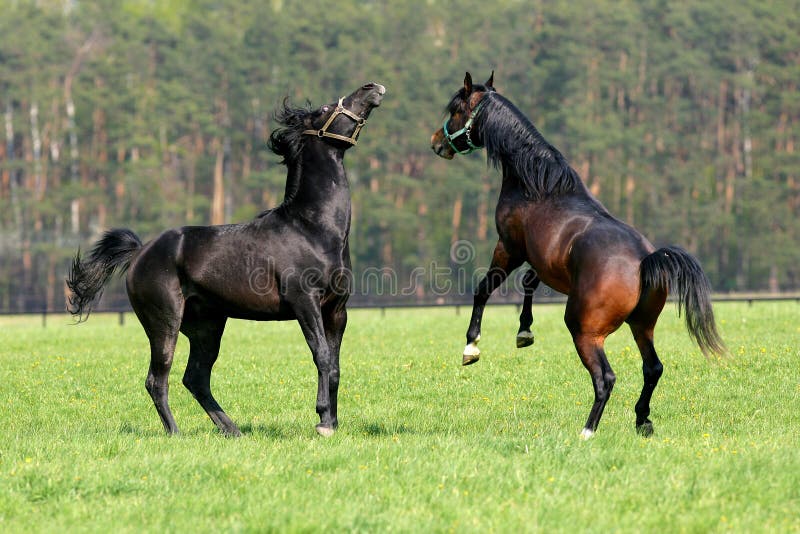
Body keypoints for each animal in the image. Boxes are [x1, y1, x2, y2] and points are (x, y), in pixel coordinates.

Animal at [67, 82, 386, 437]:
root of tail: (140, 252)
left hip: (207, 328)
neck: (311, 228)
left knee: (195, 379)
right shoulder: (306, 303)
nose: (371, 88)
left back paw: (231, 429)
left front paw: (332, 423)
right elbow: (322, 357)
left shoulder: (337, 310)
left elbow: (335, 366)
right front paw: (323, 421)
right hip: (164, 324)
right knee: (157, 380)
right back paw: (176, 433)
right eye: (326, 109)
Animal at [430, 72, 724, 438]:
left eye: (457, 109)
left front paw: (471, 347)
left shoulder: (509, 247)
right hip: (642, 326)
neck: (538, 184)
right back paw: (642, 420)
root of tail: (645, 262)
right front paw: (524, 332)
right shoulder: (543, 261)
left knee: (606, 378)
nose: (436, 142)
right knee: (653, 368)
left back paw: (588, 431)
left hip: (585, 331)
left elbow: (484, 290)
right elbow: (529, 283)